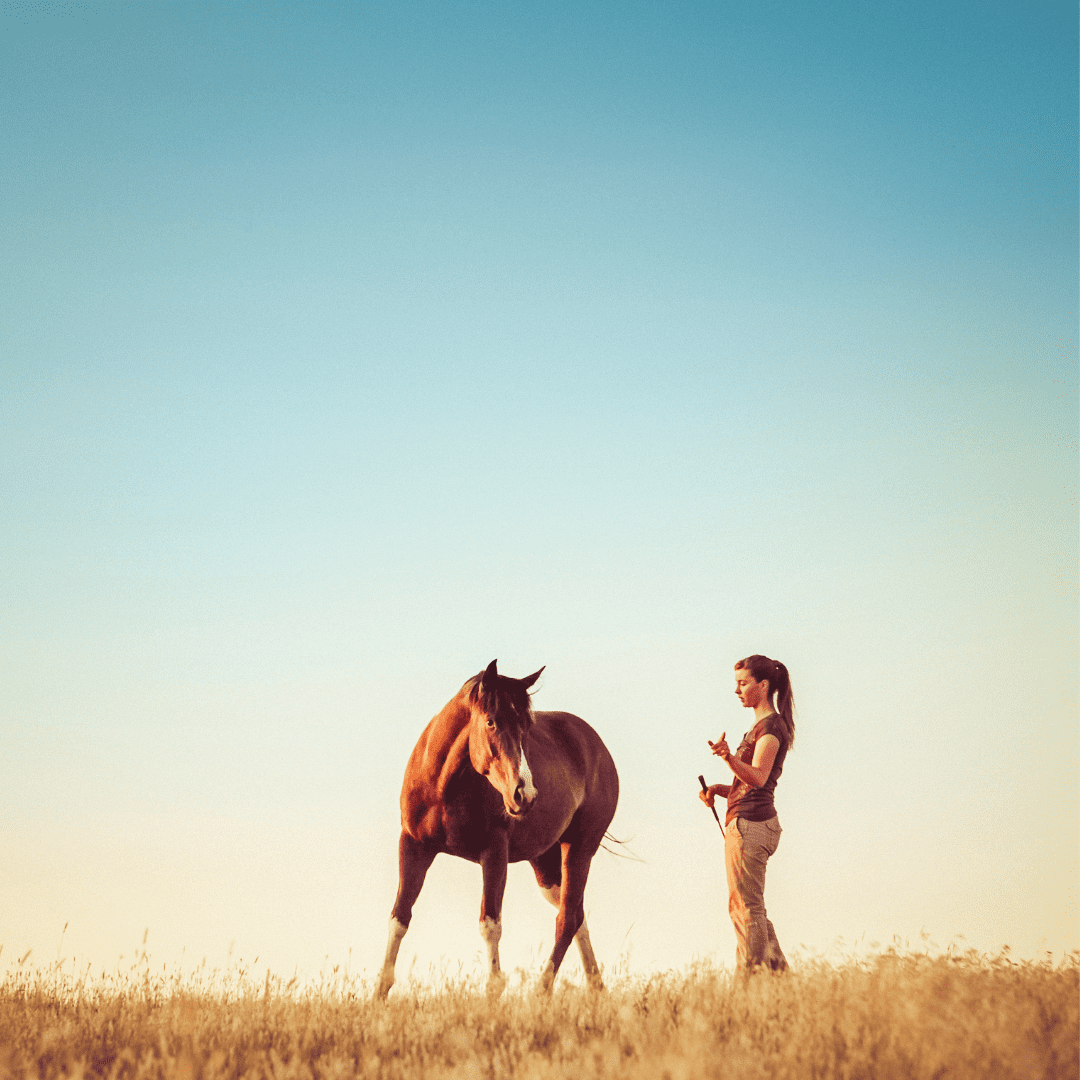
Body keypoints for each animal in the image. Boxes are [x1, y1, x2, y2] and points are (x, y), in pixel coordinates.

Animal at [375, 659, 620, 997]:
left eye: (526, 727)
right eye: (491, 721)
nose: (524, 794)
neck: (443, 786)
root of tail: (598, 747)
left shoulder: (493, 854)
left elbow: (490, 924)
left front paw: (493, 994)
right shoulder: (413, 846)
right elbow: (399, 918)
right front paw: (378, 995)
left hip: (580, 848)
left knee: (567, 919)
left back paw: (541, 992)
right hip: (544, 863)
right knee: (576, 915)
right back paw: (596, 988)